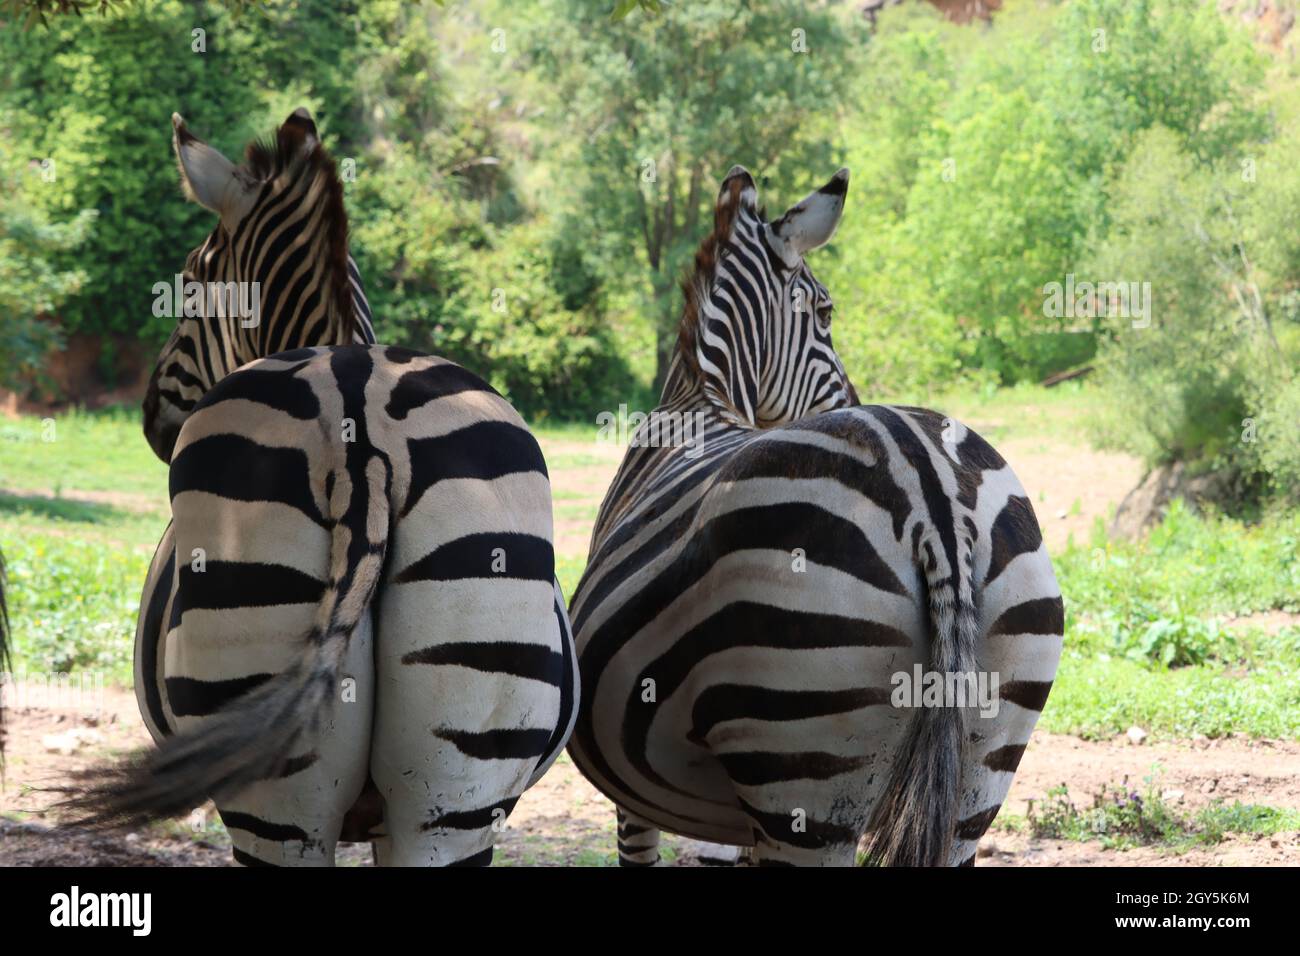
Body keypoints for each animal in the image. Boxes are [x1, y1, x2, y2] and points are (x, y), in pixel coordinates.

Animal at [567, 166, 1063, 867]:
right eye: (826, 313)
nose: (853, 399)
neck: (701, 400)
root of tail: (926, 486)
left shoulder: (635, 800)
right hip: (981, 768)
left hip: (800, 777)